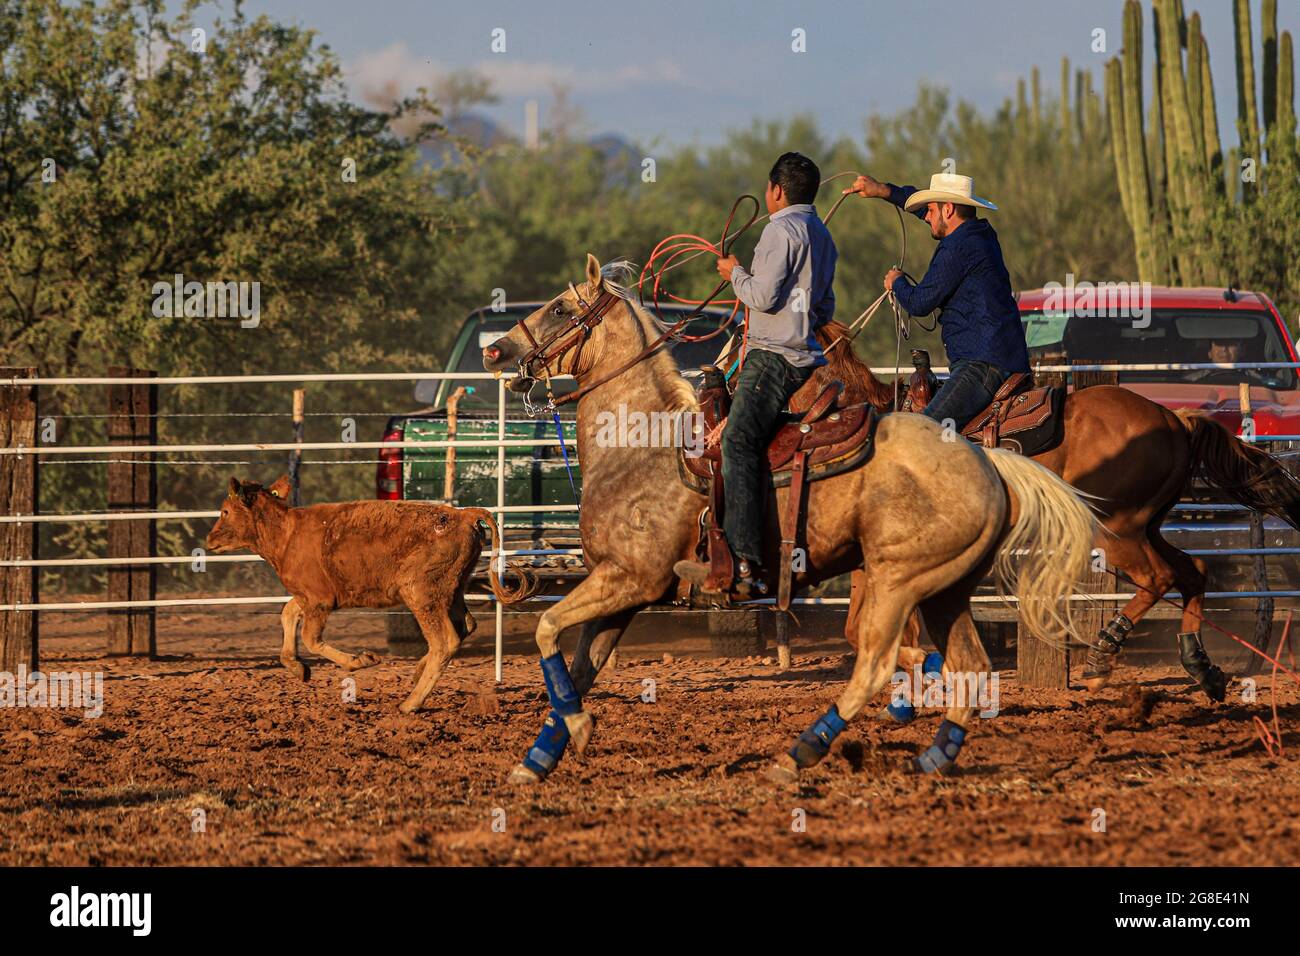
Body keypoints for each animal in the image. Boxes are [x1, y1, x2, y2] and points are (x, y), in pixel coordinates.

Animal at [481, 254, 1099, 785]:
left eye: (561, 308)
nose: (495, 353)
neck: (643, 445)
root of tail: (988, 460)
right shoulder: (621, 591)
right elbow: (579, 666)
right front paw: (537, 758)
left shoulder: (631, 579)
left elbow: (547, 629)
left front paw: (577, 728)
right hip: (943, 589)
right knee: (968, 668)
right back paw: (929, 760)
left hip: (899, 581)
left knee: (875, 664)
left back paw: (800, 753)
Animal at [795, 320, 1300, 701]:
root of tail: (1174, 418)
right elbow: (856, 630)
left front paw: (922, 665)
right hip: (1147, 526)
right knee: (1193, 572)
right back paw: (1200, 666)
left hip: (1114, 529)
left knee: (1159, 578)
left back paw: (1100, 657)